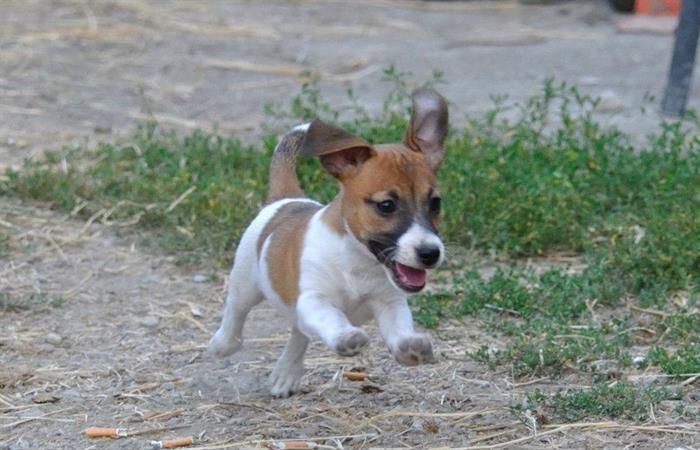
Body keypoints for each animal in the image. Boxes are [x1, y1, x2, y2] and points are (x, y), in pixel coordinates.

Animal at [208, 88, 448, 398]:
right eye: (386, 205)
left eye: (435, 203)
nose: (430, 253)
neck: (357, 262)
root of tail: (287, 198)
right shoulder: (314, 299)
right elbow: (331, 318)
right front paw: (346, 336)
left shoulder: (390, 302)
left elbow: (399, 328)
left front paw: (410, 346)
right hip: (245, 283)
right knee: (235, 314)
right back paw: (222, 343)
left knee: (298, 333)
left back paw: (287, 372)